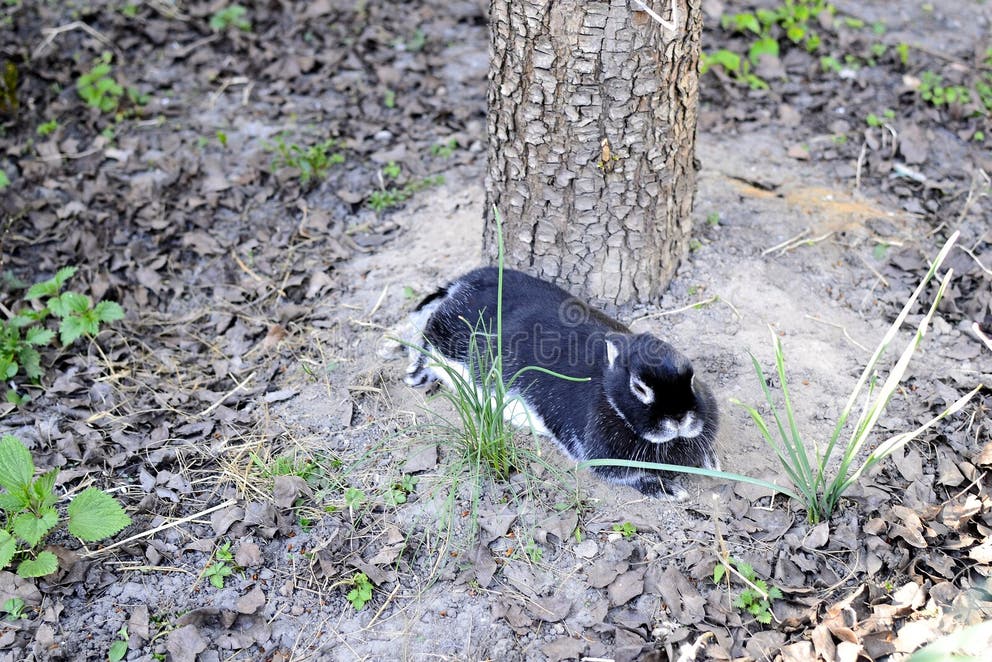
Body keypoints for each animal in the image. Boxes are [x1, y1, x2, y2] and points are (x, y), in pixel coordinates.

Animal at [404, 267, 719, 499]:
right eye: (639, 388)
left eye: (691, 378)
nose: (679, 418)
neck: (608, 389)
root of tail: (461, 285)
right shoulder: (602, 457)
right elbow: (632, 477)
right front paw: (672, 491)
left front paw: (713, 464)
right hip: (446, 340)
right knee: (427, 344)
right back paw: (416, 377)